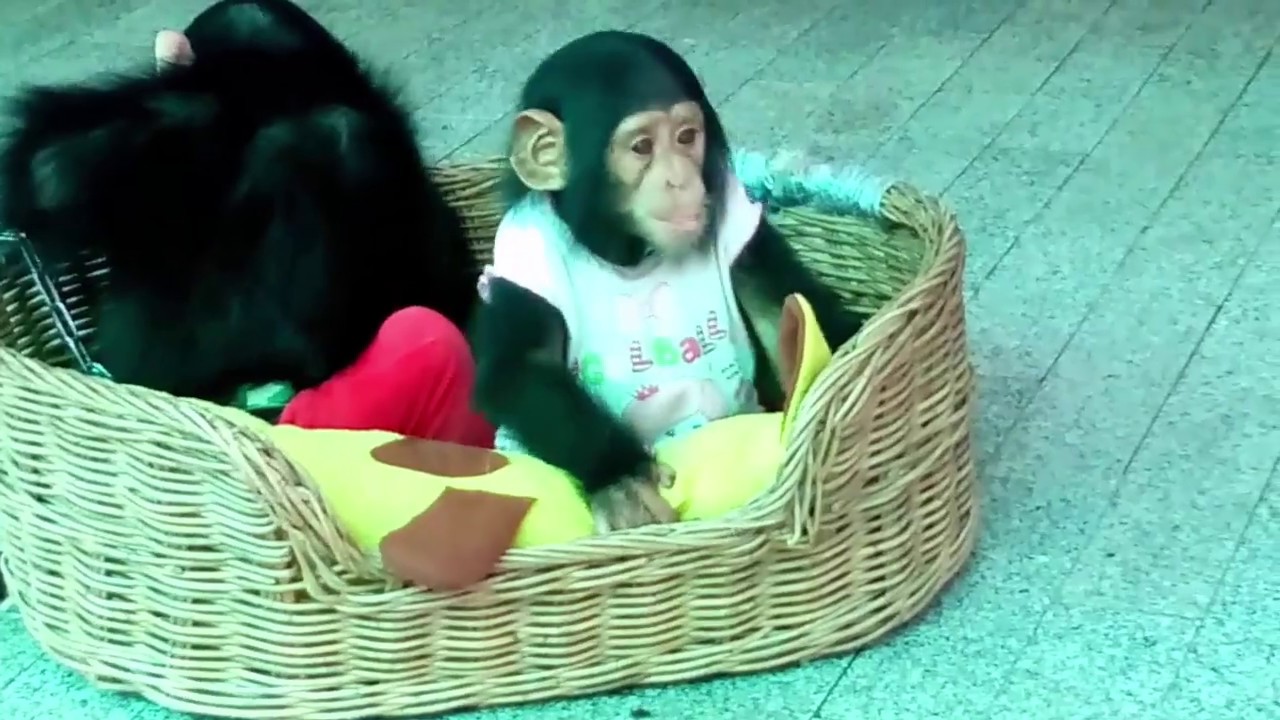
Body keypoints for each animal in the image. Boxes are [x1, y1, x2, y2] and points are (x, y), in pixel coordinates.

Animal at [470, 31, 866, 533]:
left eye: (686, 137)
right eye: (641, 147)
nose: (680, 179)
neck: (626, 250)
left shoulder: (737, 216)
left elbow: (784, 311)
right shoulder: (524, 257)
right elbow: (521, 368)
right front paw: (621, 478)